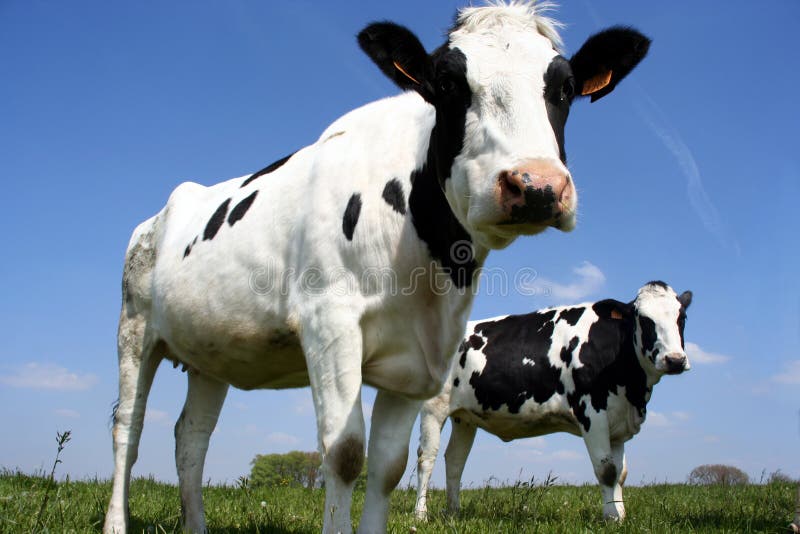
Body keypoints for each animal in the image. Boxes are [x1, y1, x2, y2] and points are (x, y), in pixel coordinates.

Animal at [104, 3, 651, 533]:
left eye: (565, 87)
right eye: (447, 82)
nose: (536, 186)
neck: (430, 269)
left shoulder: (419, 357)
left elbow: (388, 466)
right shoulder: (329, 322)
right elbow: (345, 453)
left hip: (210, 353)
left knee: (191, 438)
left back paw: (195, 524)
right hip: (135, 331)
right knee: (128, 429)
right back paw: (116, 522)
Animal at [414, 281, 692, 522]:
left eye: (682, 318)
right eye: (643, 319)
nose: (675, 360)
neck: (633, 390)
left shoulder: (619, 422)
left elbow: (620, 474)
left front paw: (619, 515)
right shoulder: (591, 412)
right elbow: (606, 471)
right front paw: (611, 517)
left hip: (464, 417)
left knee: (455, 461)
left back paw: (454, 513)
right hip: (433, 408)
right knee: (426, 459)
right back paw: (421, 515)